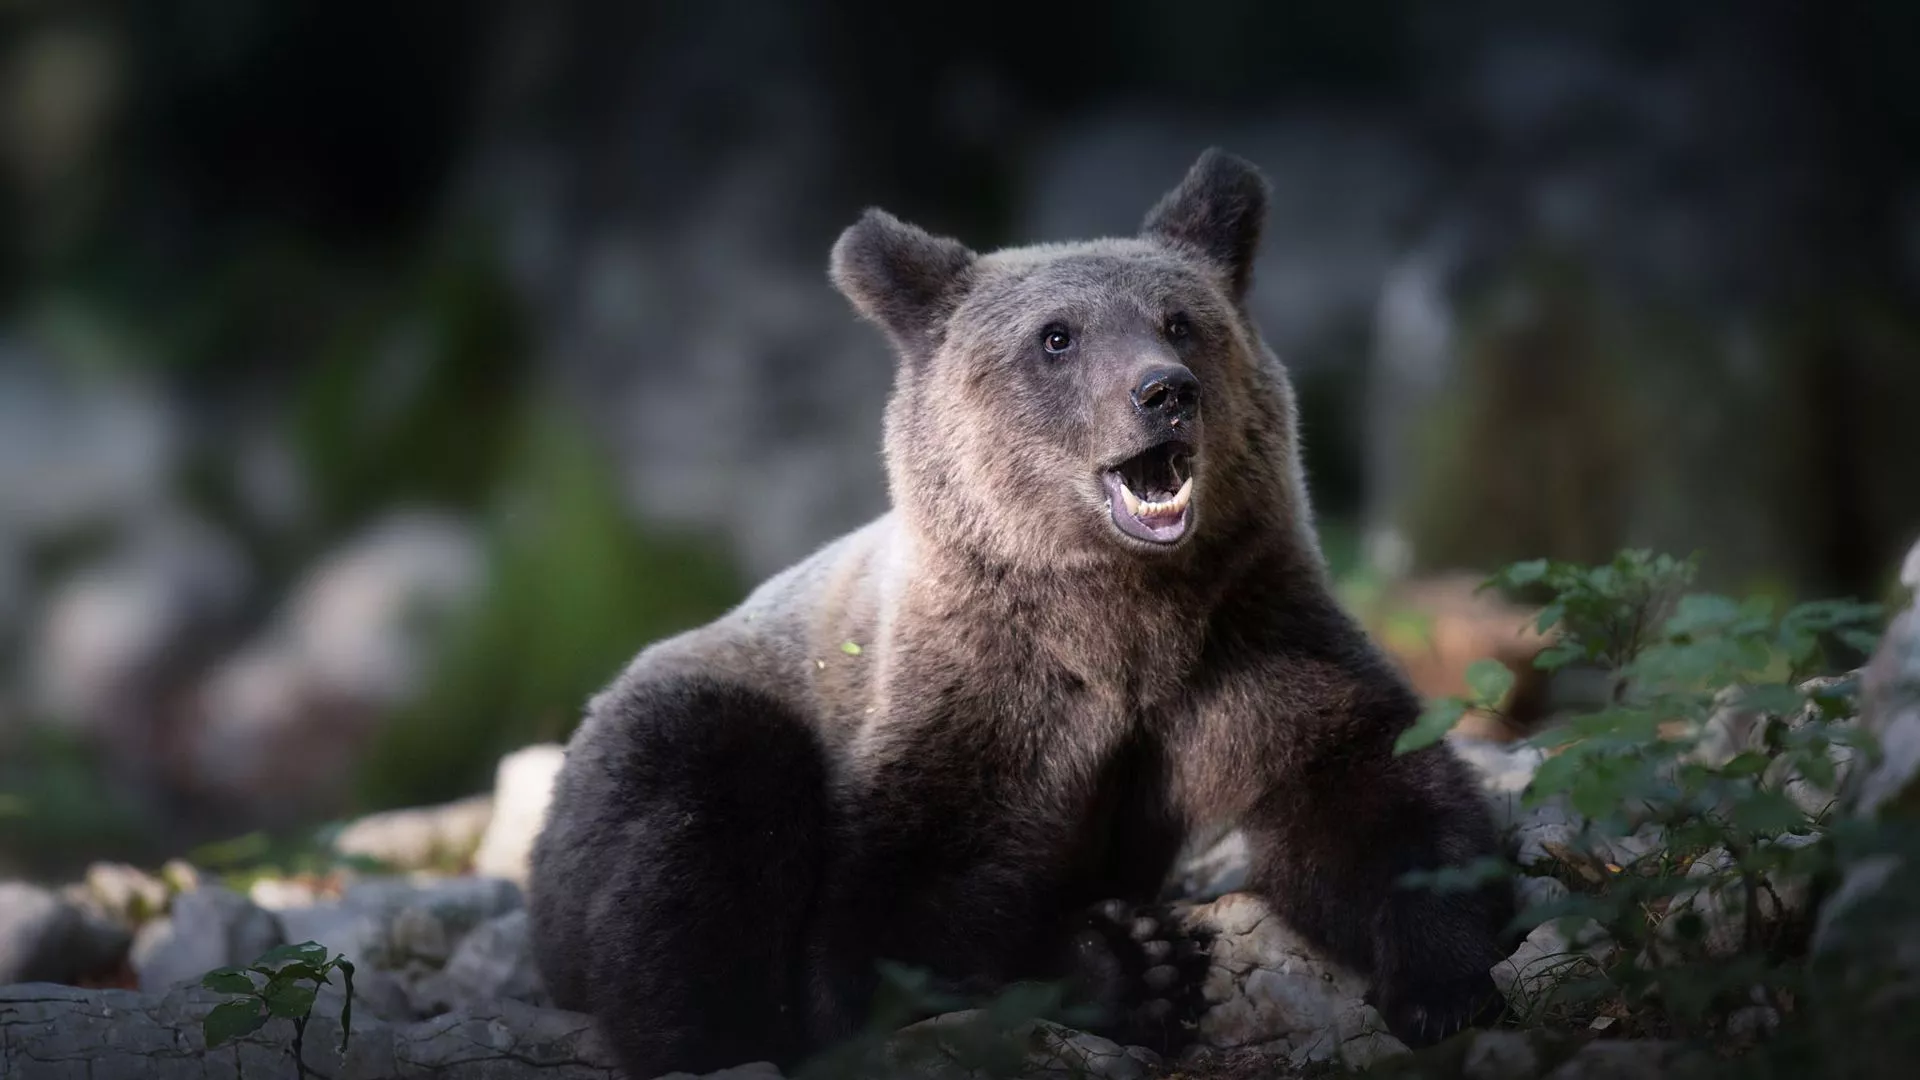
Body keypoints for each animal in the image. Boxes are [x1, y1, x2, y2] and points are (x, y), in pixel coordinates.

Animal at [527, 148, 1513, 1078]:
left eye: (1180, 320)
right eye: (1057, 336)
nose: (1164, 392)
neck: (1118, 617)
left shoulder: (1245, 641)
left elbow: (1367, 785)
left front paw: (1441, 981)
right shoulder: (978, 705)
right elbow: (891, 921)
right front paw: (1130, 964)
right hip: (663, 743)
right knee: (698, 826)